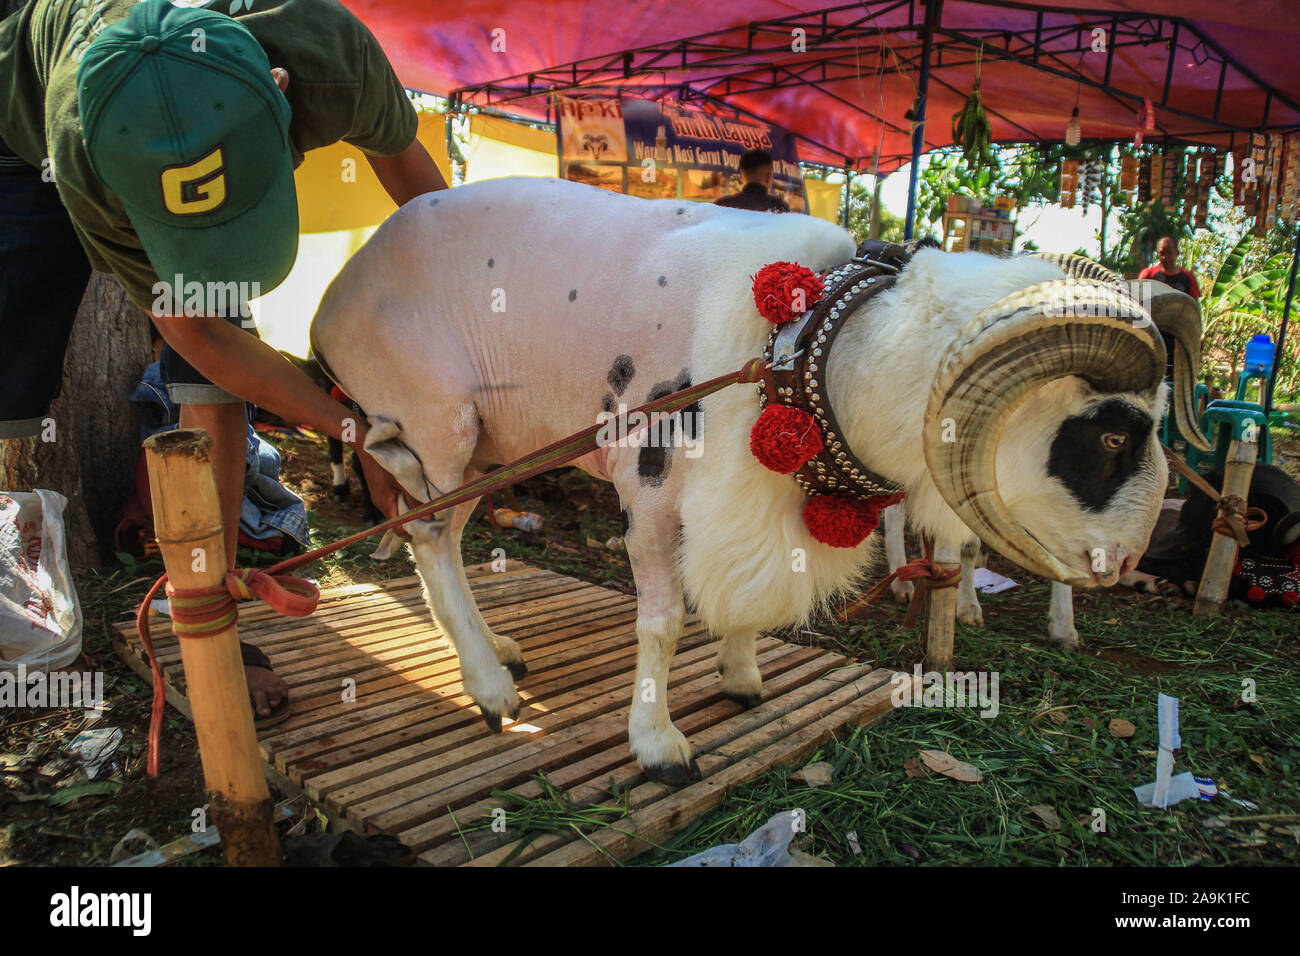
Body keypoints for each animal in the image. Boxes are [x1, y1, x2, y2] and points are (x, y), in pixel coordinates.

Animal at [308, 178, 1207, 784]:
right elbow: (663, 621)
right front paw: (657, 743)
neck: (811, 347)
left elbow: (742, 595)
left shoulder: (751, 496)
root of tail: (331, 298)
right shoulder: (649, 485)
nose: (1131, 562)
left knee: (443, 536)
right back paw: (491, 688)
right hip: (439, 422)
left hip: (490, 446)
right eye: (1114, 431)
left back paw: (490, 652)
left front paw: (741, 677)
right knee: (430, 537)